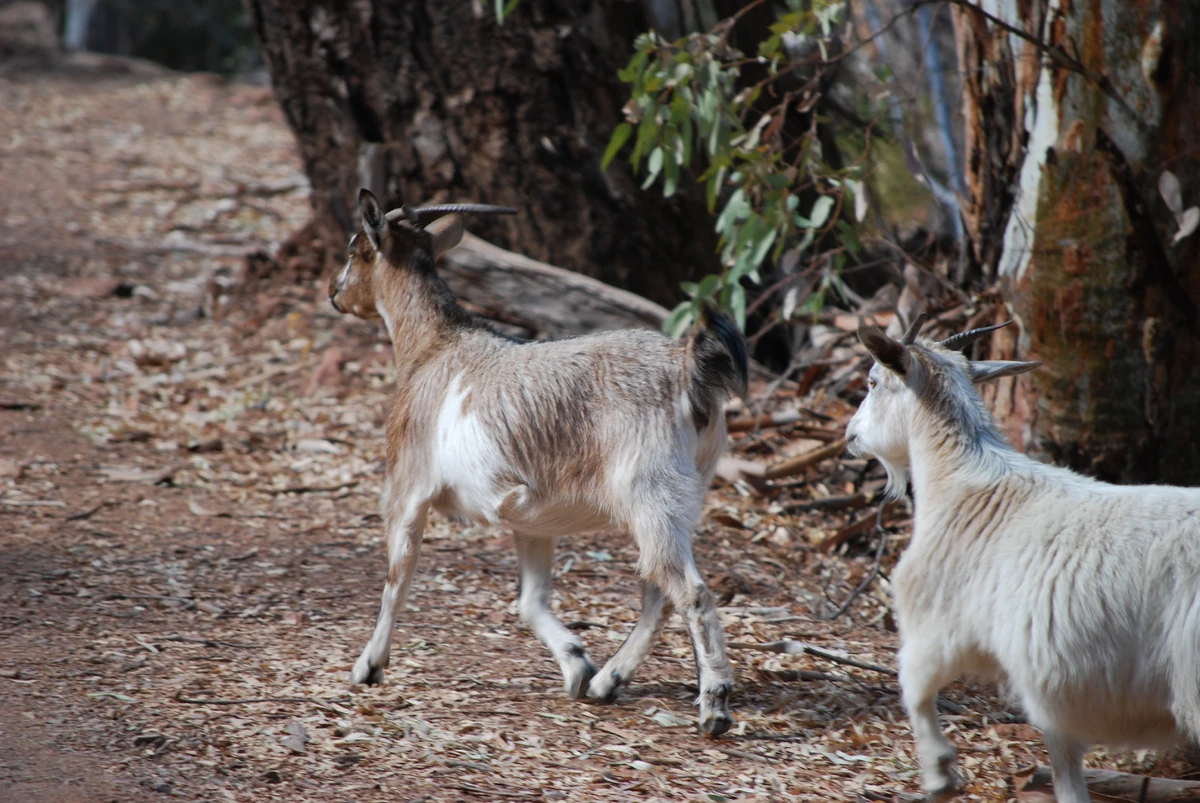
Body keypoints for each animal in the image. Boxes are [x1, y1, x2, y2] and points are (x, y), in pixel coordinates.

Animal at [328, 189, 748, 737]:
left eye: (355, 250)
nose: (335, 294)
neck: (434, 348)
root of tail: (687, 368)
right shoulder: (531, 520)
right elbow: (530, 601)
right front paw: (576, 664)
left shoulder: (406, 489)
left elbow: (396, 581)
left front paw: (368, 666)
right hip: (683, 492)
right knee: (659, 593)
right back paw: (608, 681)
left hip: (649, 489)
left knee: (688, 591)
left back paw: (714, 705)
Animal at [847, 314, 1200, 802]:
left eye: (872, 381)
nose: (850, 435)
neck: (965, 485)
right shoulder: (1055, 693)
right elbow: (1068, 777)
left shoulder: (940, 623)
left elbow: (913, 686)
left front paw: (938, 773)